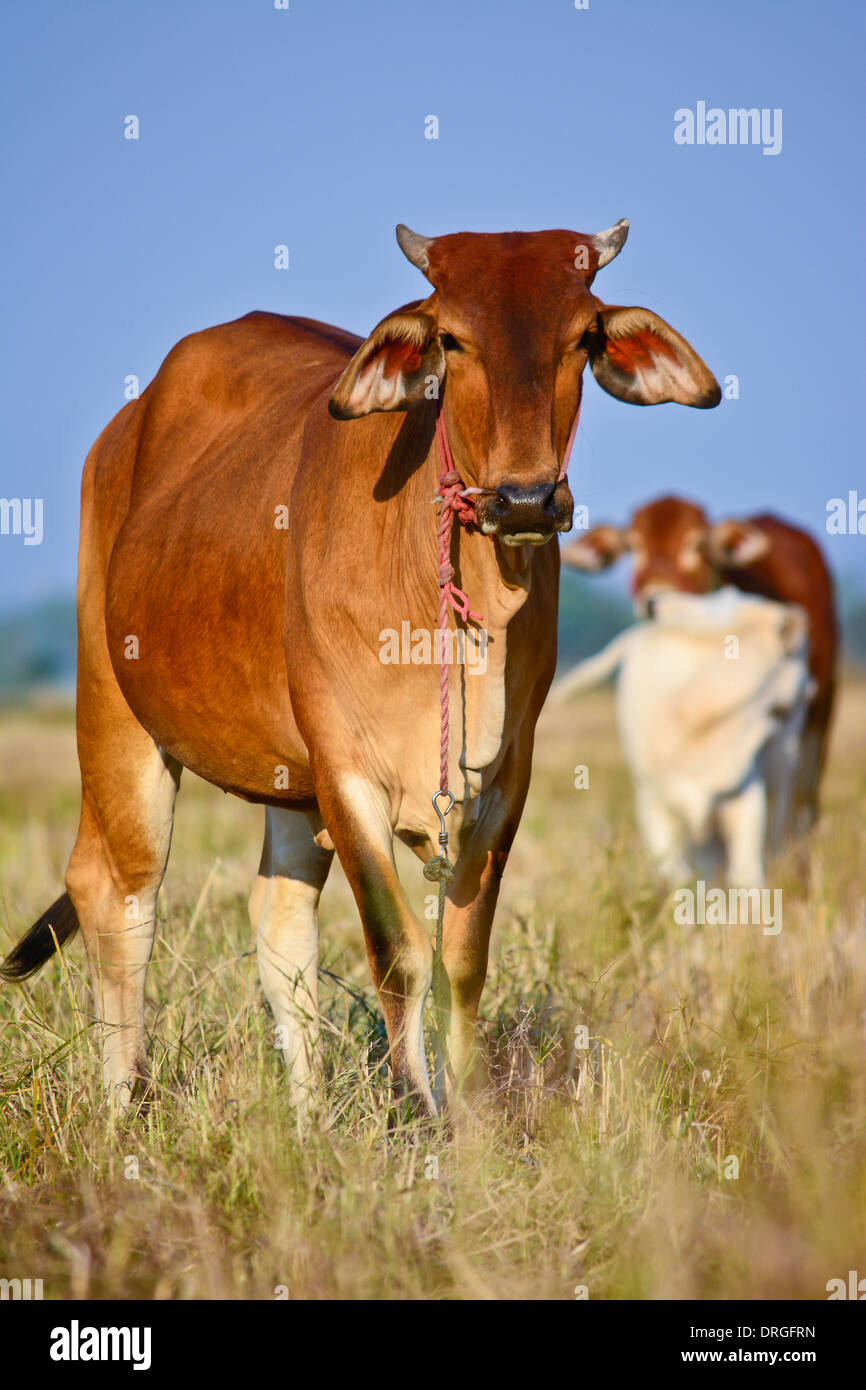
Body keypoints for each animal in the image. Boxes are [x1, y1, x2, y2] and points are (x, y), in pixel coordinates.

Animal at [0, 222, 721, 1118]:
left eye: (582, 338)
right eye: (453, 338)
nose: (524, 499)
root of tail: (126, 427)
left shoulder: (505, 780)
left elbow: (461, 961)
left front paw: (469, 1117)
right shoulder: (346, 772)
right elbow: (399, 953)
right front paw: (415, 1114)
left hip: (286, 780)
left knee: (278, 923)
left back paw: (307, 1121)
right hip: (114, 714)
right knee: (118, 892)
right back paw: (123, 1104)